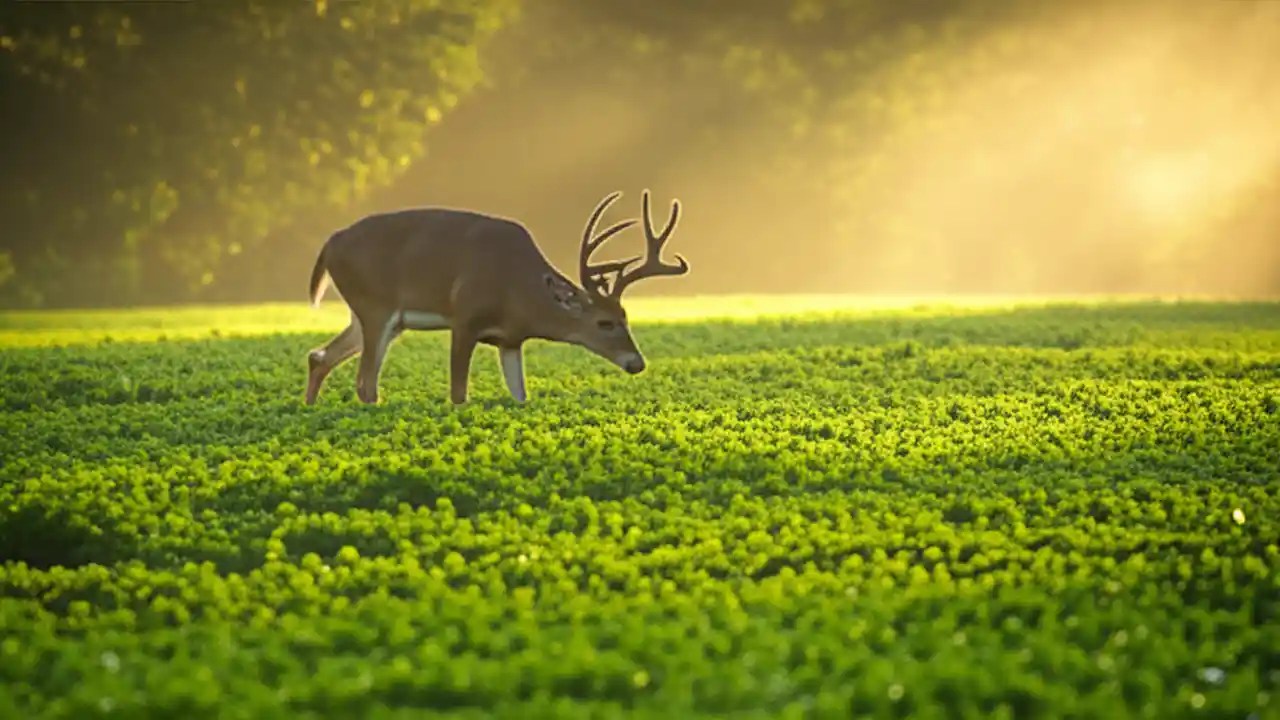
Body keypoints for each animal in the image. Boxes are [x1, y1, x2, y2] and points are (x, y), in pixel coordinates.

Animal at [303, 189, 690, 406]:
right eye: (604, 322)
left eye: (626, 317)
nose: (636, 363)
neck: (517, 293)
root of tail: (328, 244)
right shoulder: (464, 317)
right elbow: (458, 394)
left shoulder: (511, 340)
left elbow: (520, 395)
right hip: (375, 306)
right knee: (365, 381)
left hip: (373, 315)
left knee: (318, 356)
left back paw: (309, 407)